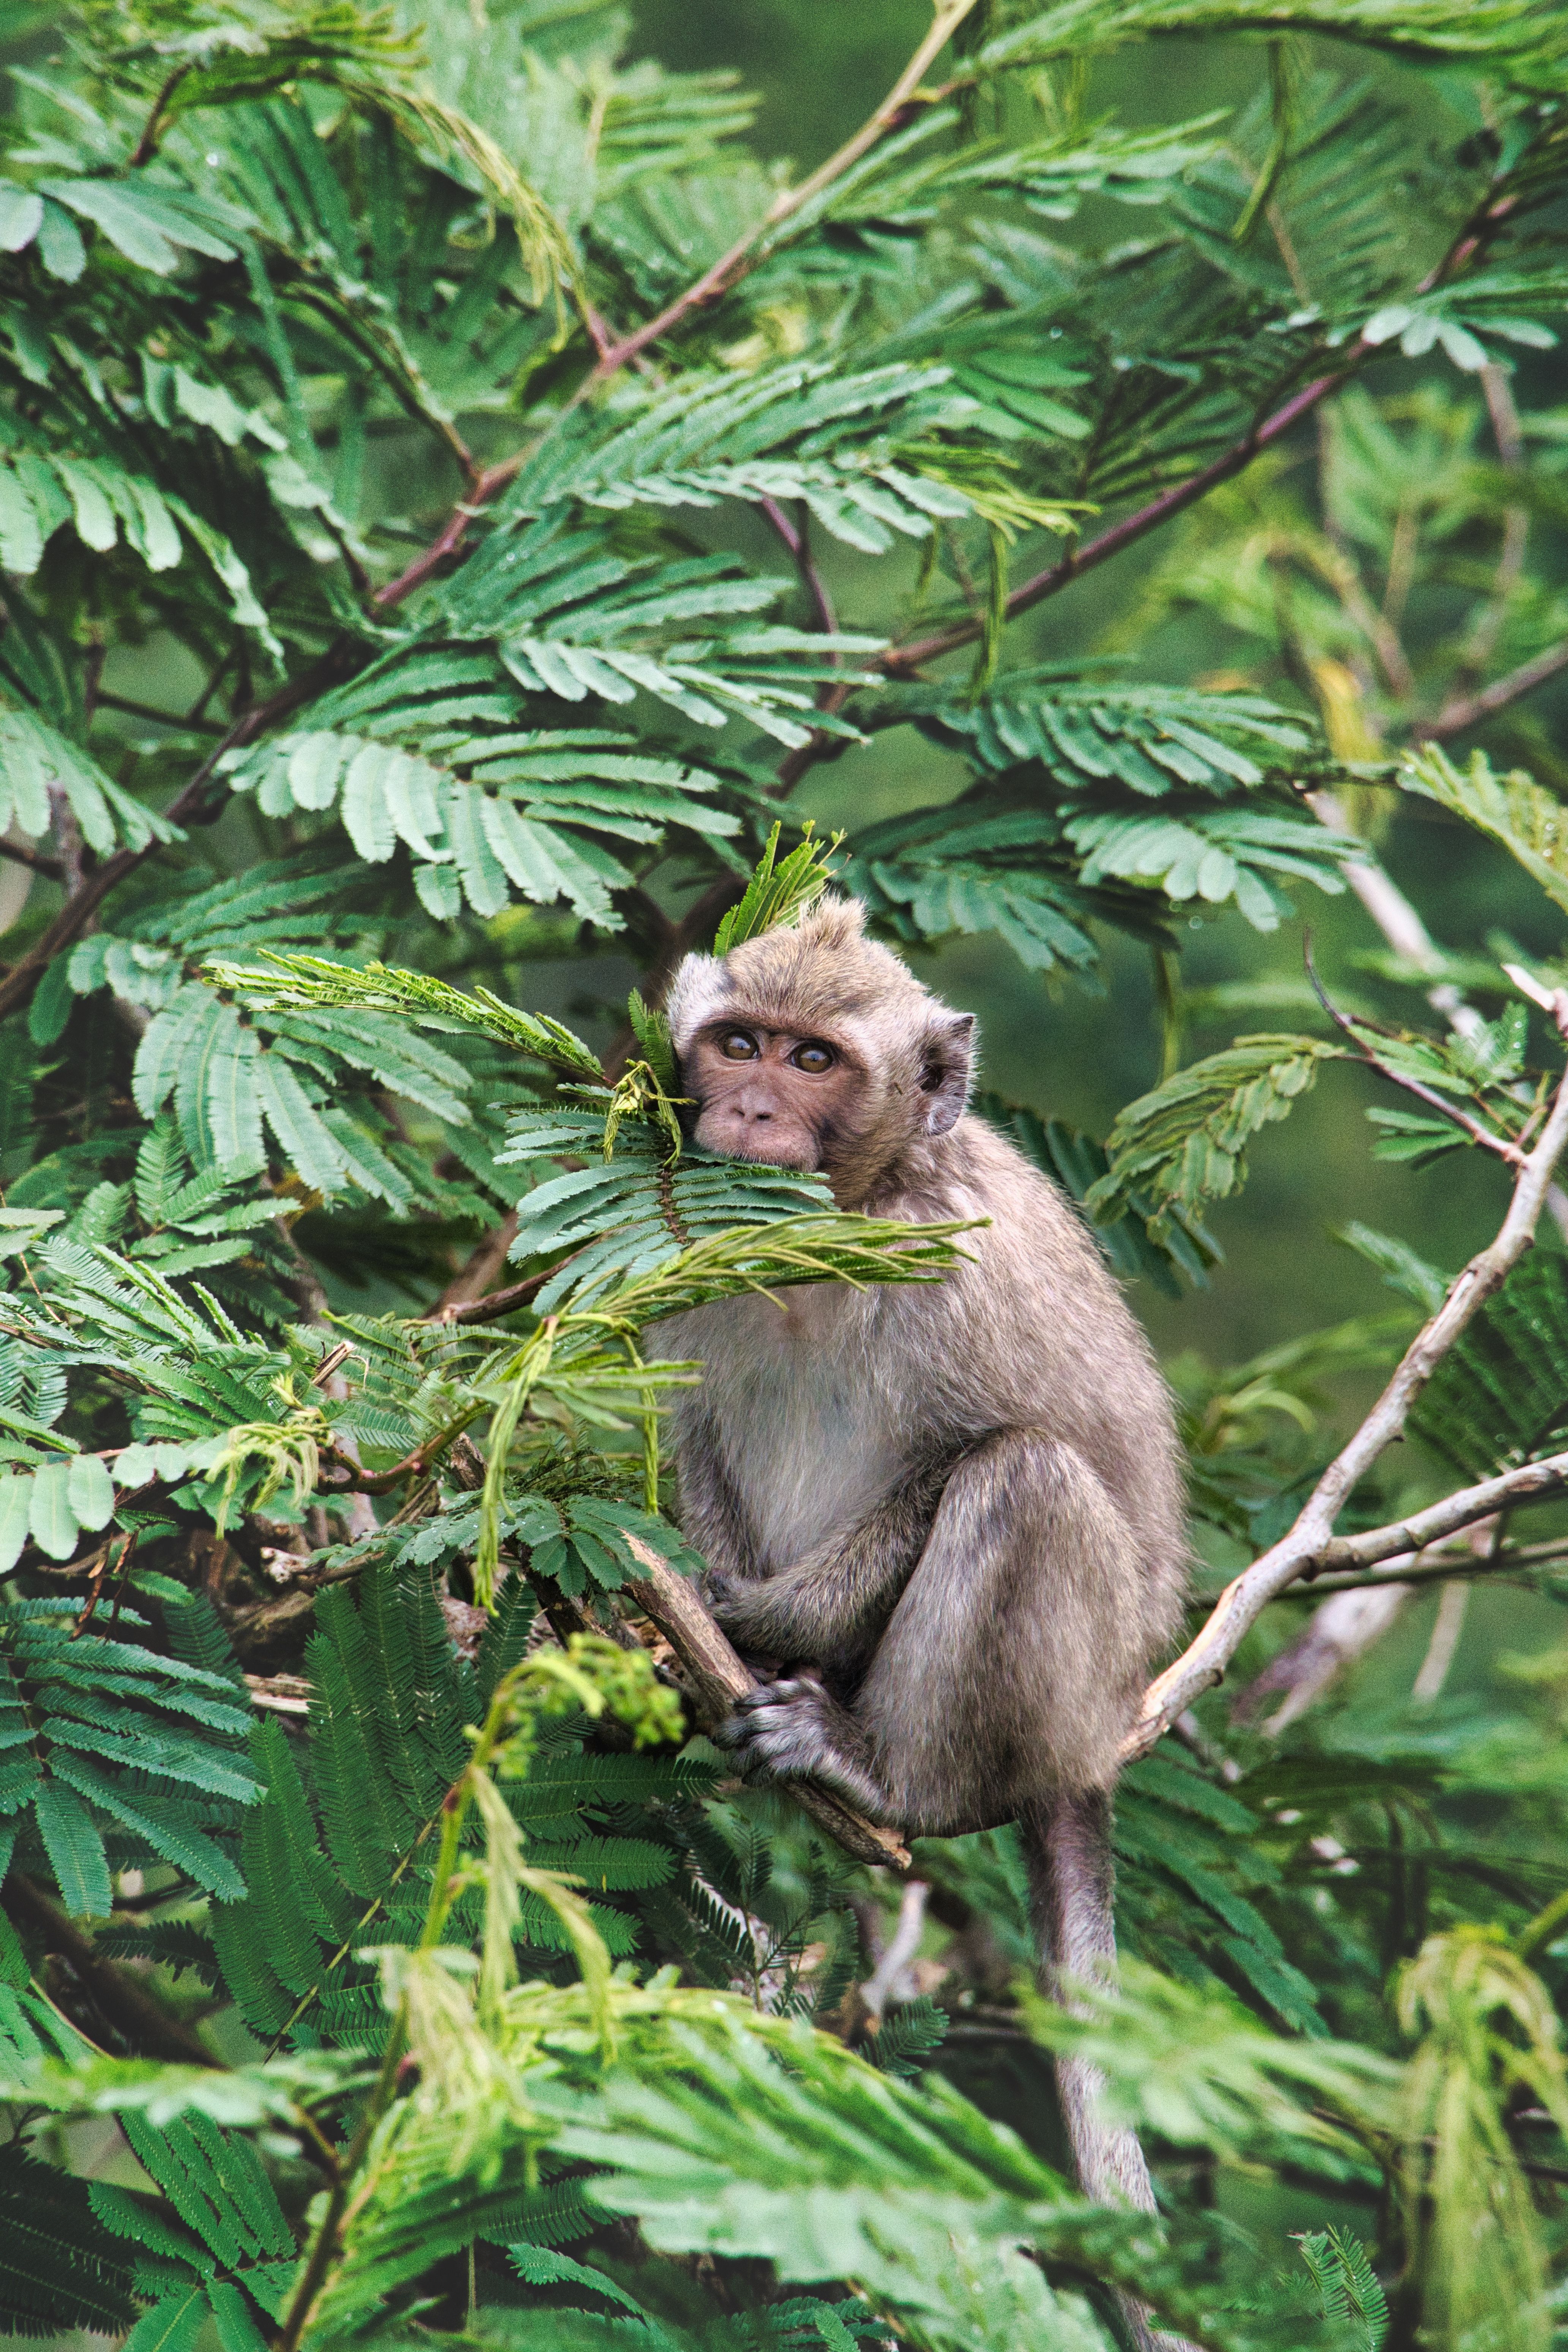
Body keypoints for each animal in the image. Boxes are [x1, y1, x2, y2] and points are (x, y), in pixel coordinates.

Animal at [655, 895, 1189, 2265]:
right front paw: (704, 1620)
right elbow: (693, 1434)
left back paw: (887, 1773)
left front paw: (760, 1615)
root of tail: (1100, 1734)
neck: (844, 1216)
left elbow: (968, 1456)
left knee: (1025, 1479)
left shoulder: (949, 1268)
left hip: (1065, 1681)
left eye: (813, 1060)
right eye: (739, 1042)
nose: (748, 1110)